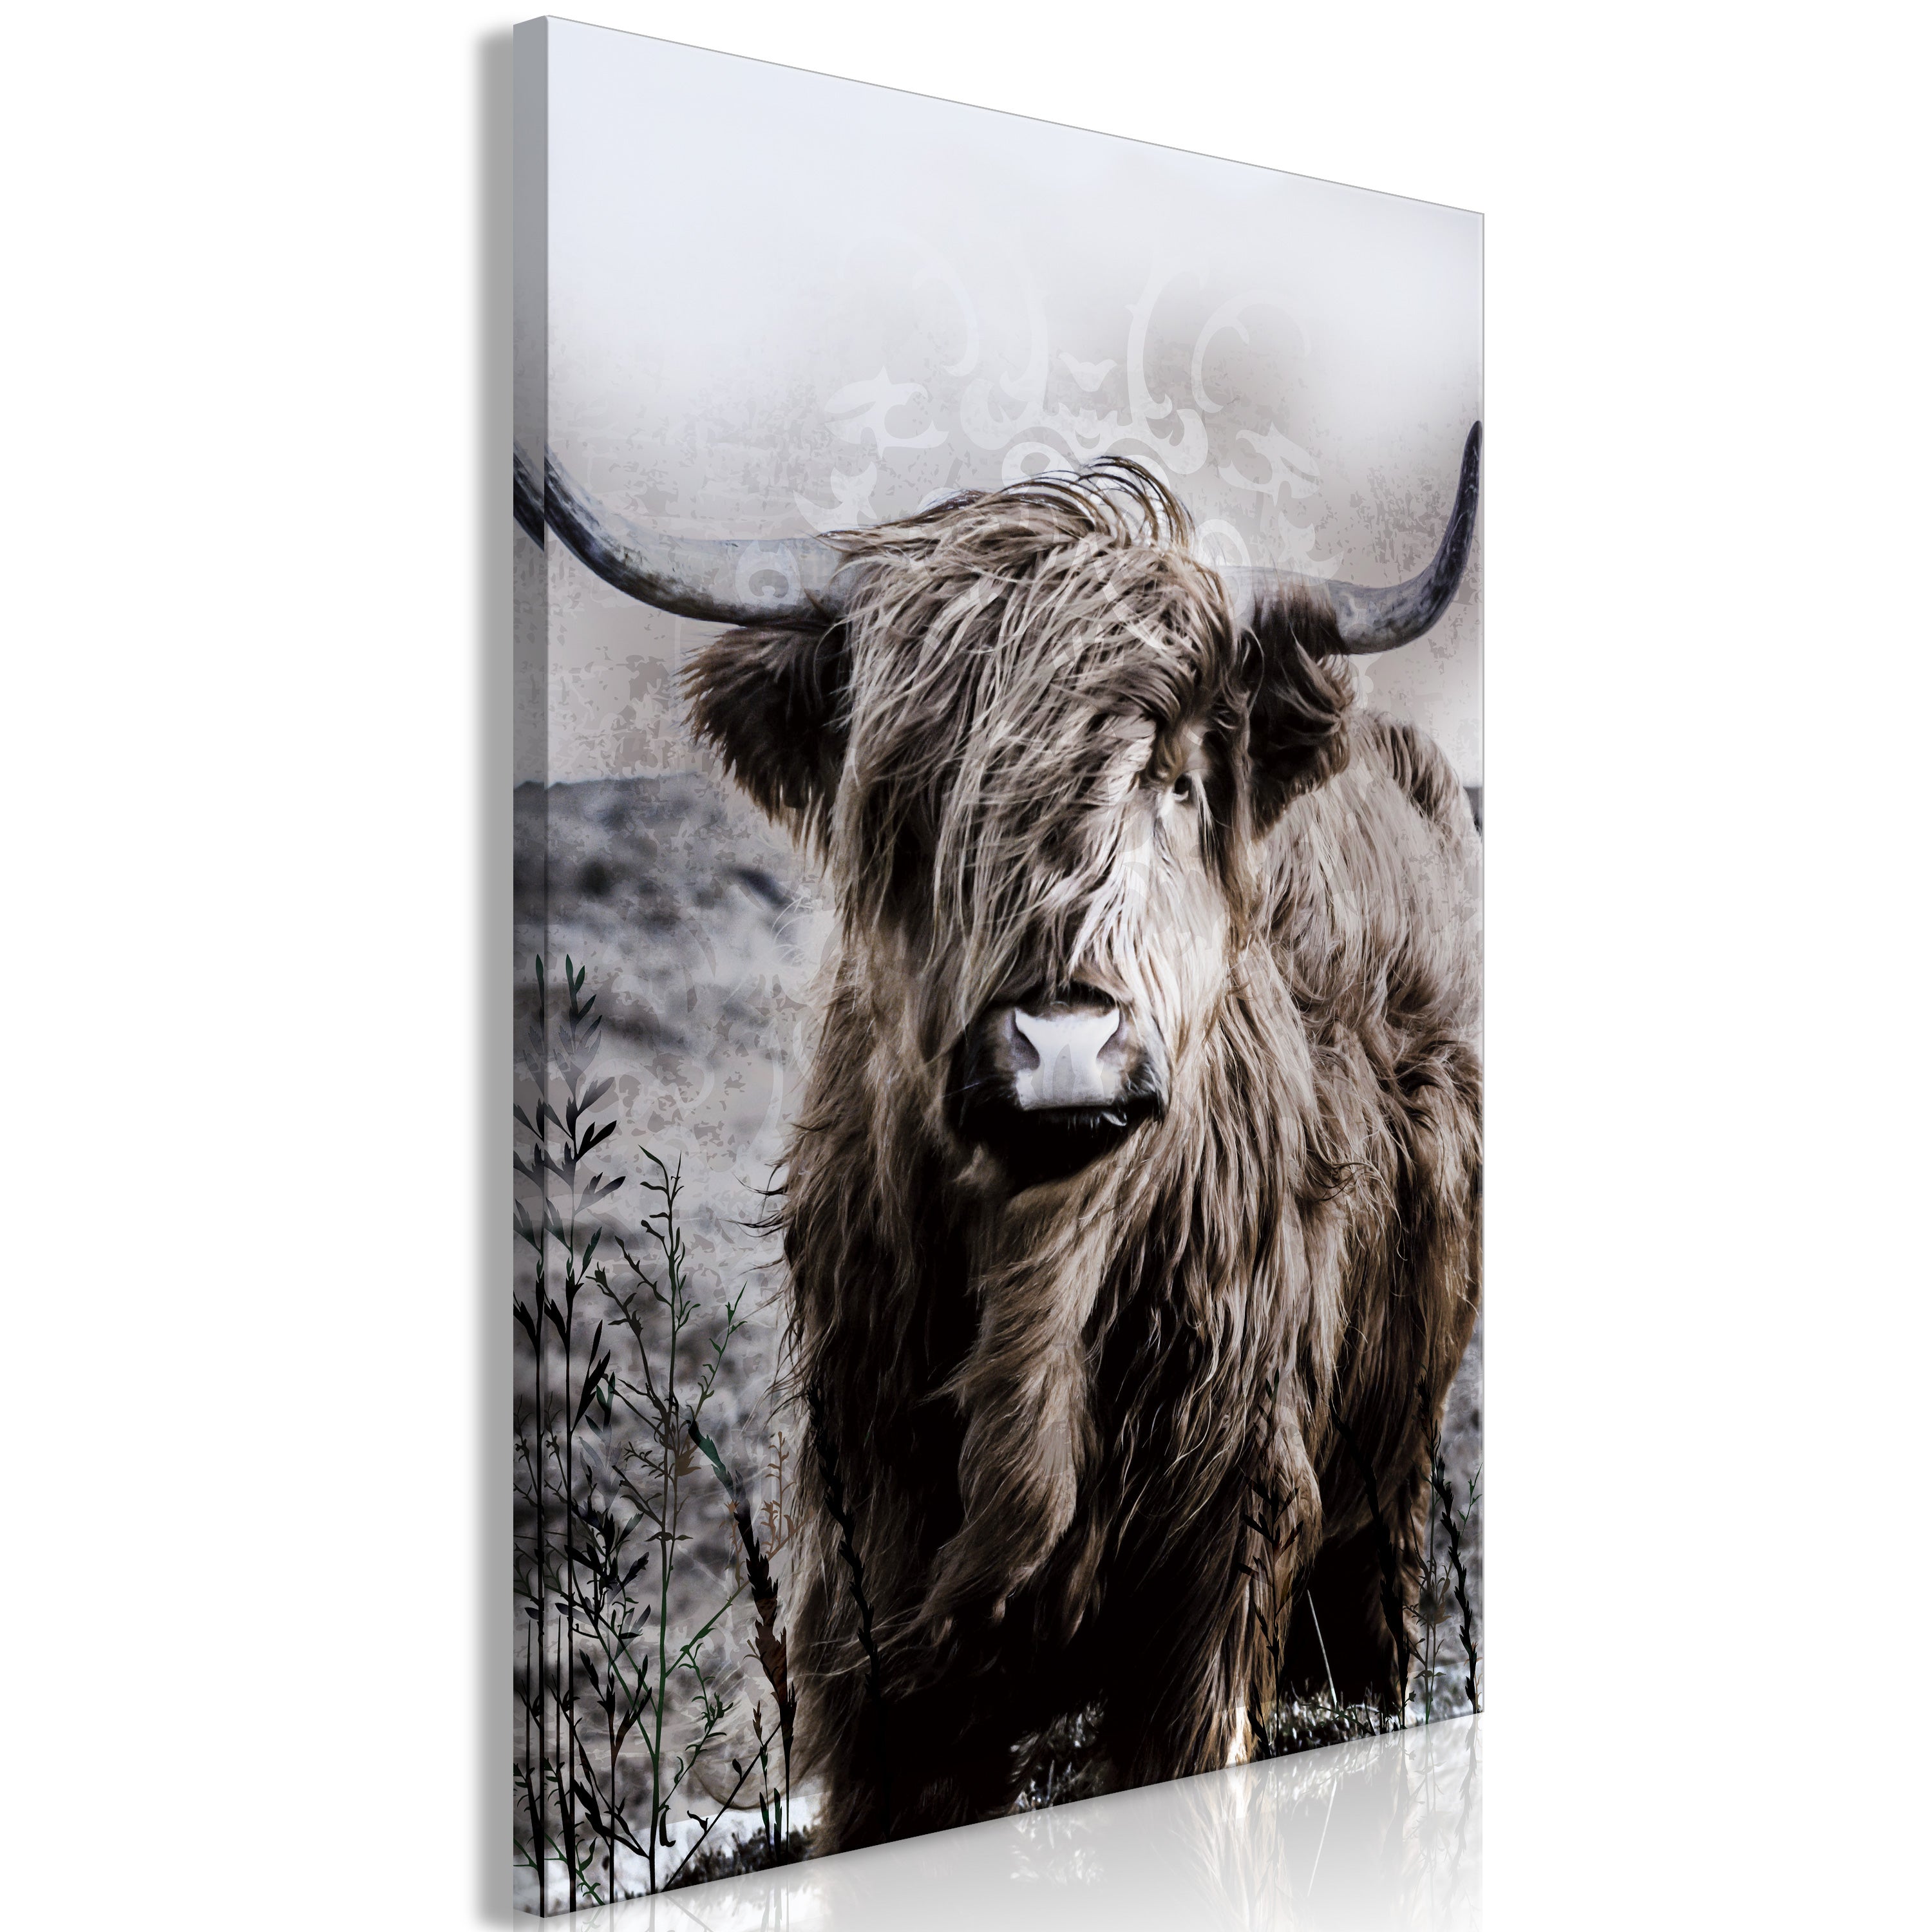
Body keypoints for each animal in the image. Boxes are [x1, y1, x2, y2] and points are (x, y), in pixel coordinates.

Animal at [515, 422, 1483, 1852]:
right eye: (915, 800)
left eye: (1177, 779)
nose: (1062, 1047)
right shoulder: (870, 1603)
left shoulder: (1220, 1569)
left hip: (1390, 1483)